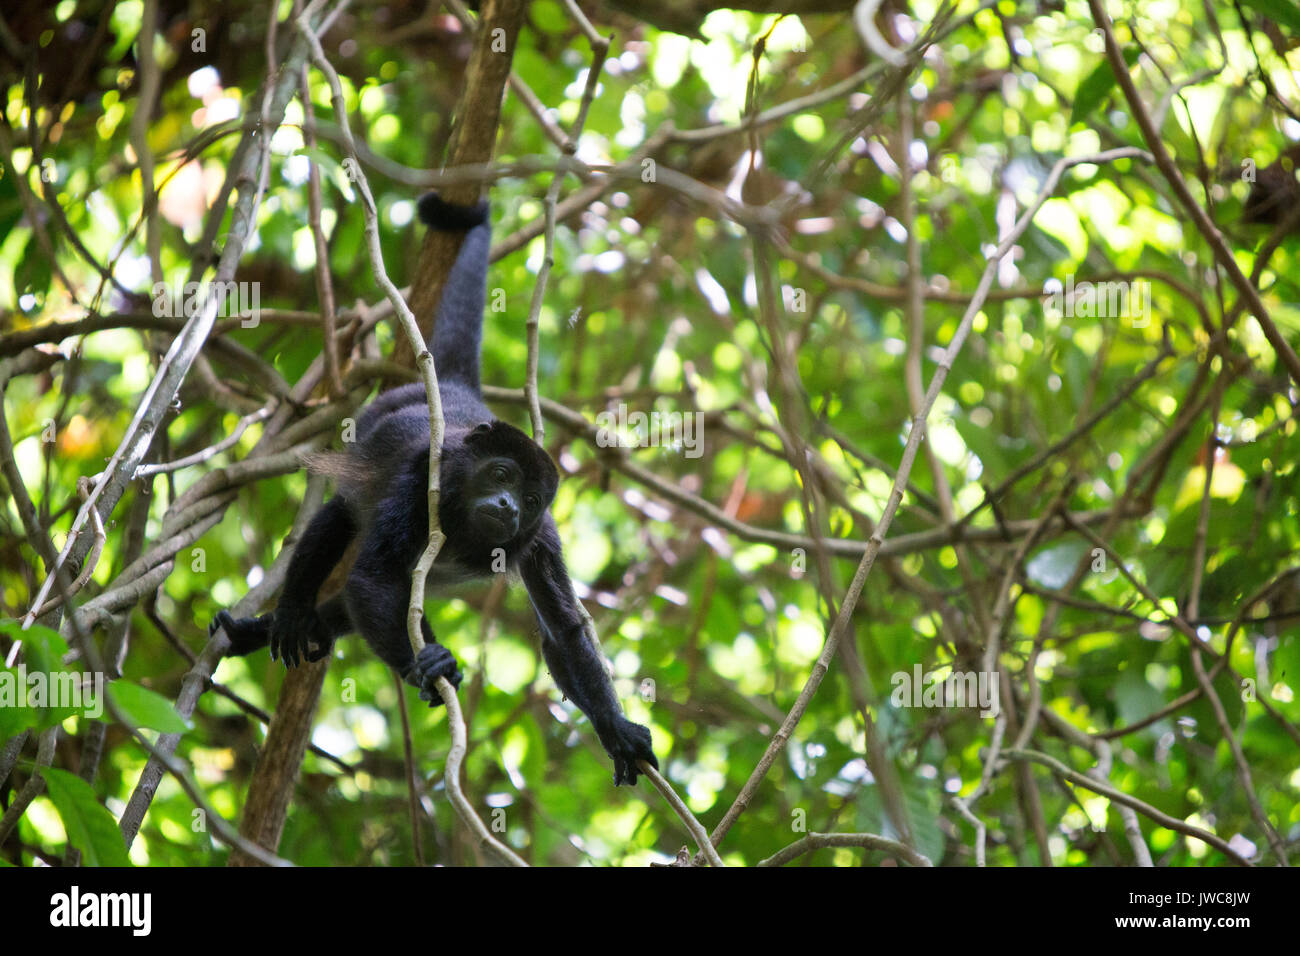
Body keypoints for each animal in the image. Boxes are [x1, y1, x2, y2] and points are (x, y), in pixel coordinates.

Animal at [210, 193, 658, 786]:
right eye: (501, 475)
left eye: (531, 501)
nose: (508, 506)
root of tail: (451, 389)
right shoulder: (419, 484)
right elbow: (373, 578)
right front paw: (423, 668)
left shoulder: (541, 538)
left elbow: (563, 631)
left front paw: (616, 728)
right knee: (340, 520)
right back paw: (292, 615)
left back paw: (272, 632)